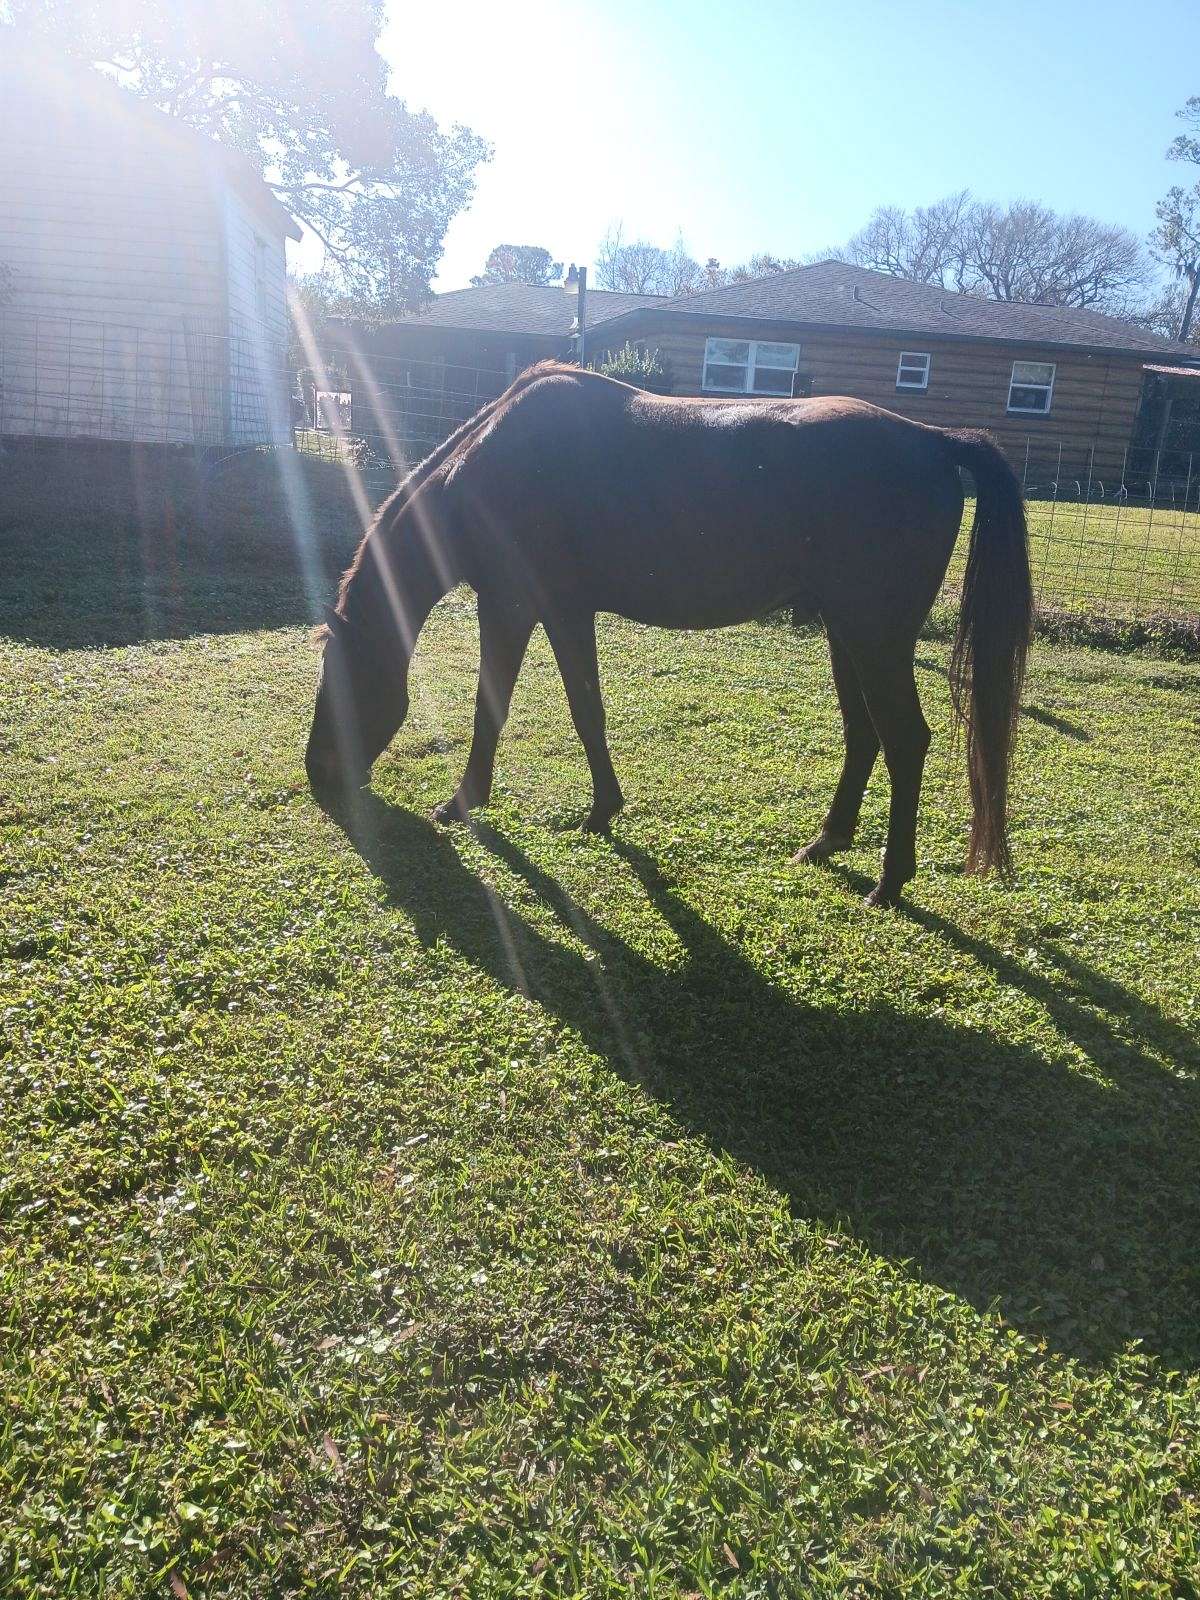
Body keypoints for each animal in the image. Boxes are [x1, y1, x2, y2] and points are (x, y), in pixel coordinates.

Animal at [306, 362, 1032, 907]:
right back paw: (827, 841)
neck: (486, 469)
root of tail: (931, 438)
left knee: (904, 740)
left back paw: (889, 880)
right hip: (847, 635)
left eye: (341, 679)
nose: (319, 773)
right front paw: (603, 810)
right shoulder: (566, 612)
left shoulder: (510, 608)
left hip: (874, 638)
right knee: (865, 735)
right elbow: (587, 710)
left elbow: (493, 708)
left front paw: (462, 802)